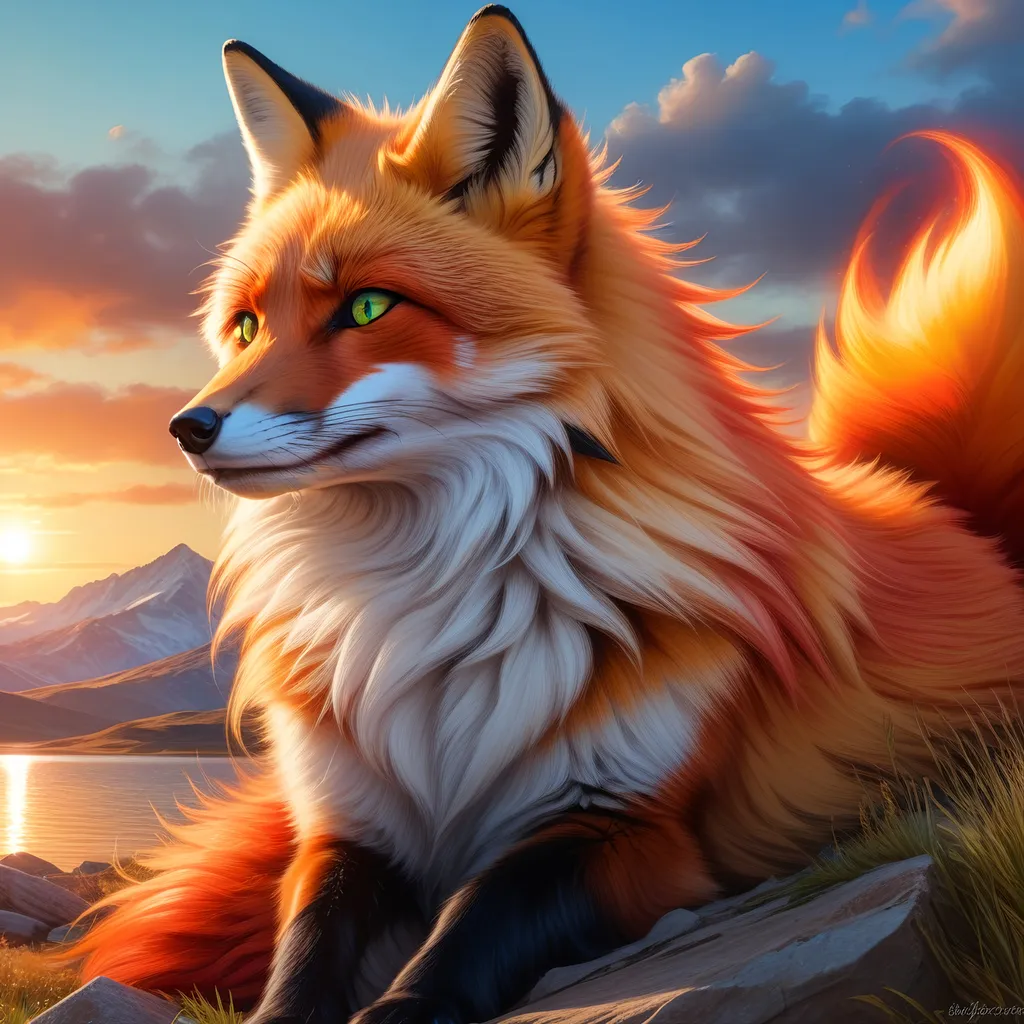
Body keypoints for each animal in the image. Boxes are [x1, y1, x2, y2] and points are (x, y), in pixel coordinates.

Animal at [66, 5, 1024, 1023]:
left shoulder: (637, 830)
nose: (187, 428)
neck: (430, 608)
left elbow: (481, 913)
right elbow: (305, 949)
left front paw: (403, 1005)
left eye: (366, 307)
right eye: (247, 325)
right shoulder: (345, 826)